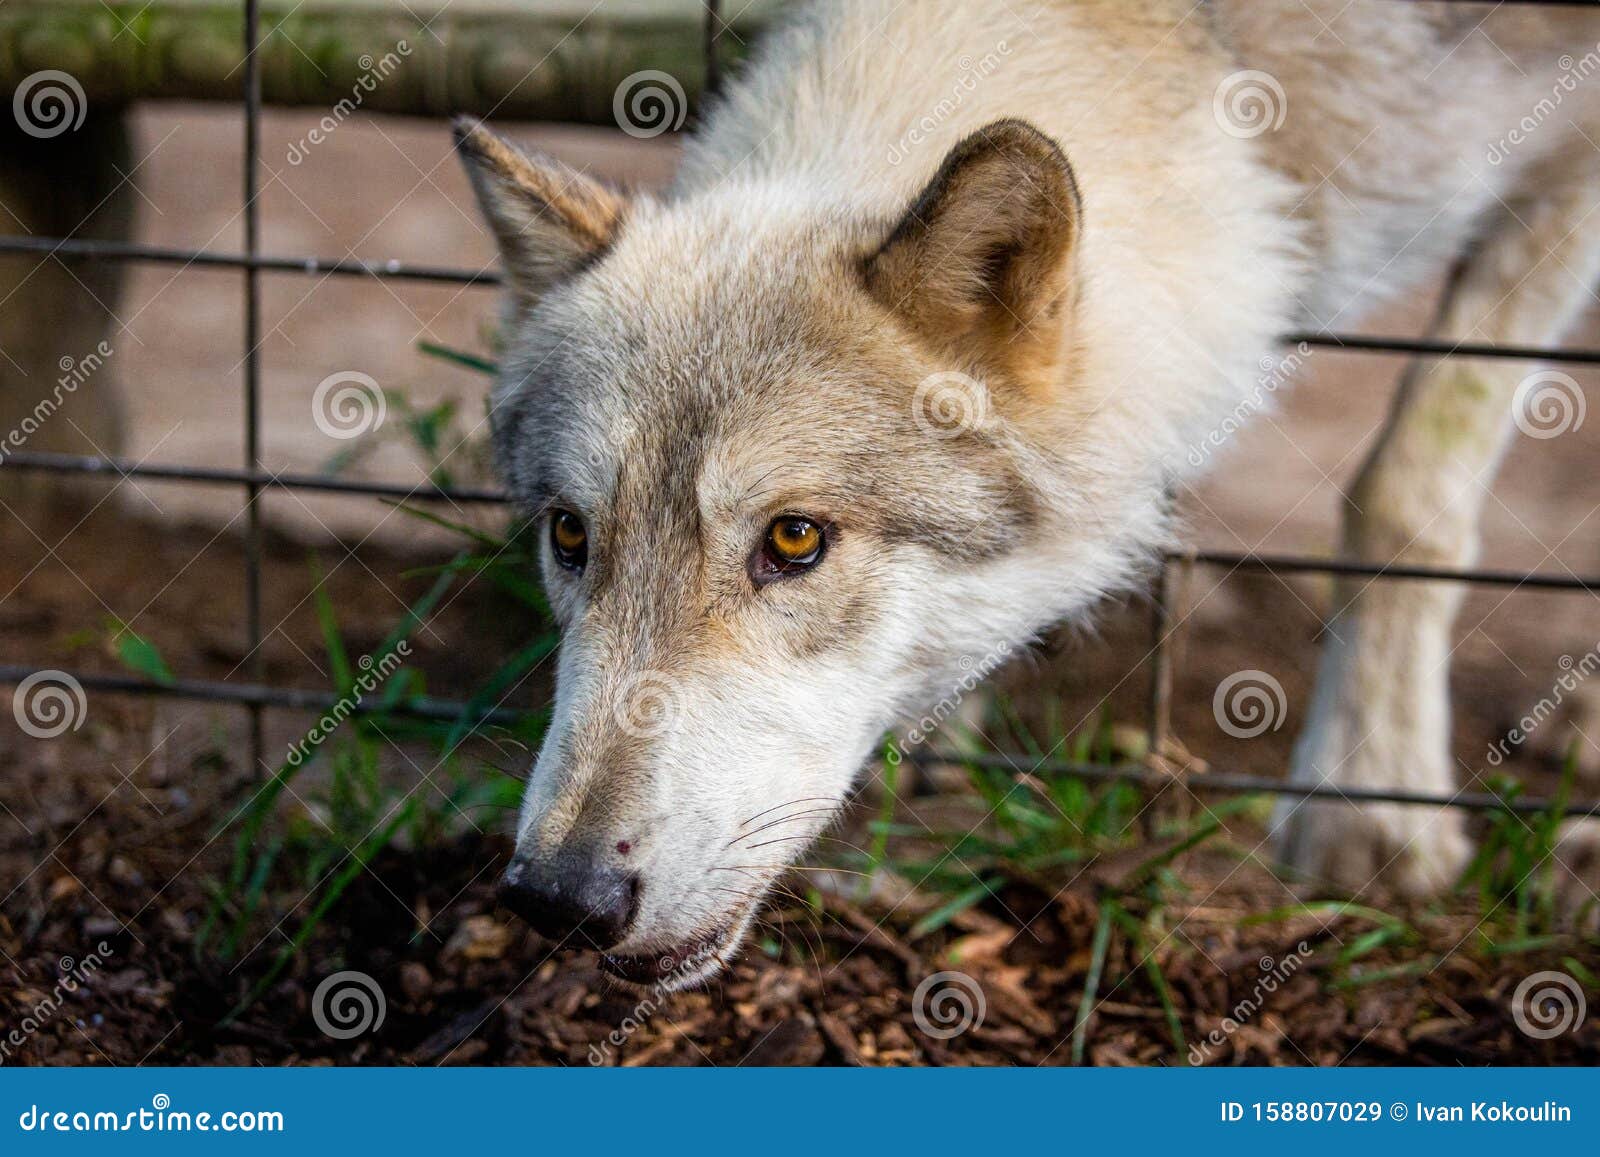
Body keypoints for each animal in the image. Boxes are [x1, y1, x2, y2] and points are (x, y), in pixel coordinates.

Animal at [456, 0, 1600, 987]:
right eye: (570, 535)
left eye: (793, 539)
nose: (559, 897)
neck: (1203, 39)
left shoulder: (1566, 147)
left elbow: (1402, 489)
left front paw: (1365, 802)